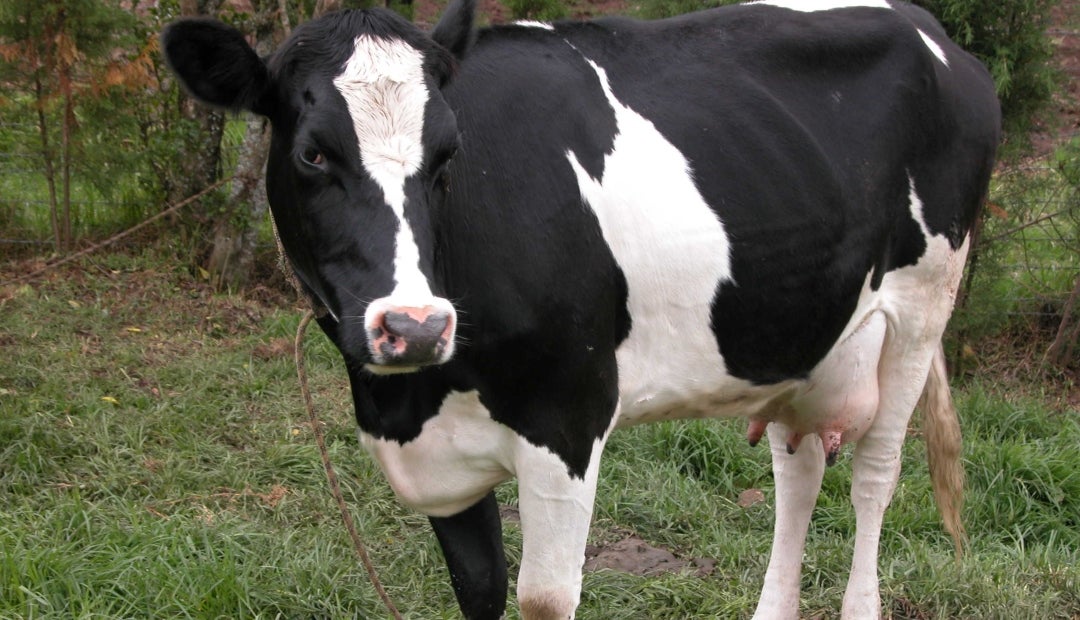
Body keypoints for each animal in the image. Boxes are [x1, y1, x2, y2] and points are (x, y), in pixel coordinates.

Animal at [162, 0, 999, 617]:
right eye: (313, 153)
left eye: (449, 154)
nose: (415, 327)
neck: (405, 401)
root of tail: (929, 28)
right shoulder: (442, 456)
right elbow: (479, 590)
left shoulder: (567, 420)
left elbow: (541, 599)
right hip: (802, 339)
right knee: (799, 474)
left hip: (921, 310)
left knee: (874, 476)